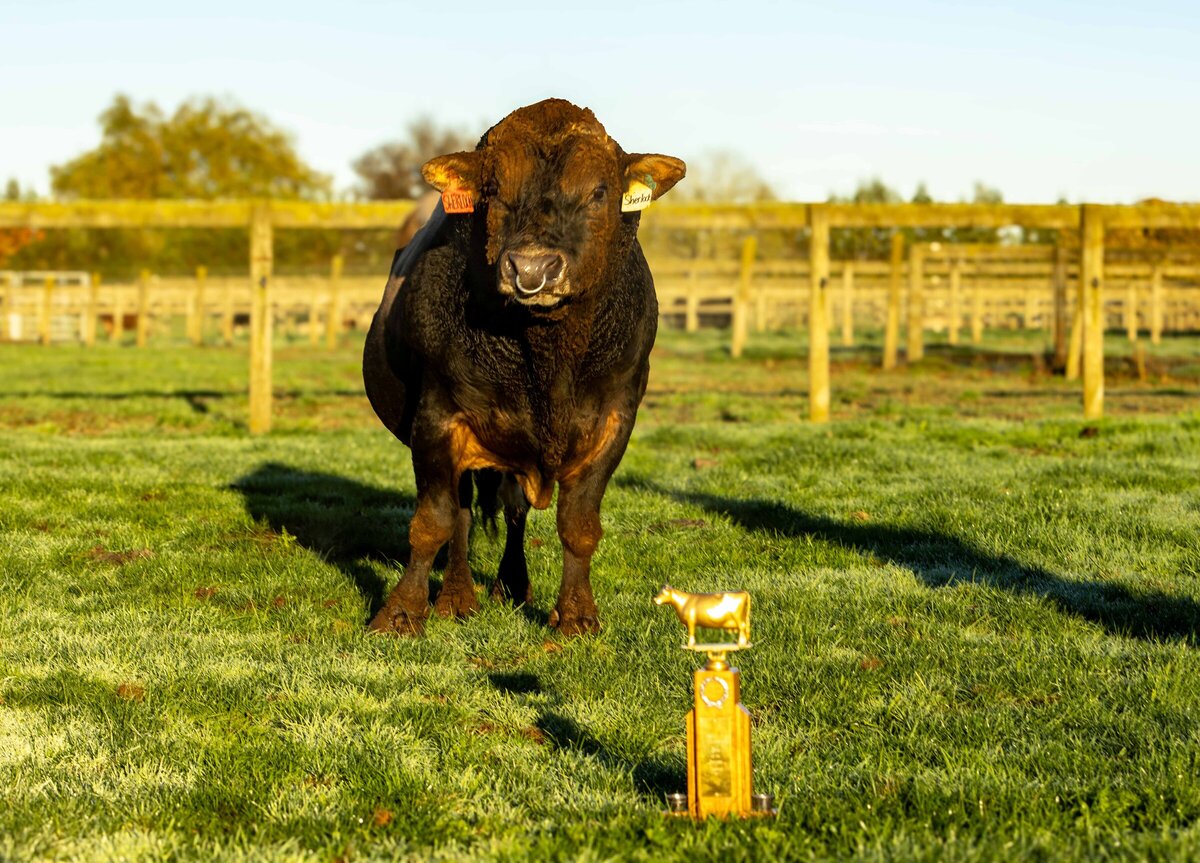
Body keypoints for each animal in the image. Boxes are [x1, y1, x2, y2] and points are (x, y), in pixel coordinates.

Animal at [362, 98, 685, 636]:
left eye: (600, 192)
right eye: (492, 190)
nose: (532, 269)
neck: (546, 361)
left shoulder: (614, 419)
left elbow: (578, 525)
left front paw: (576, 616)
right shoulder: (437, 419)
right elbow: (433, 522)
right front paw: (400, 612)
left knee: (512, 512)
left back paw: (512, 583)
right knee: (463, 515)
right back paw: (457, 597)